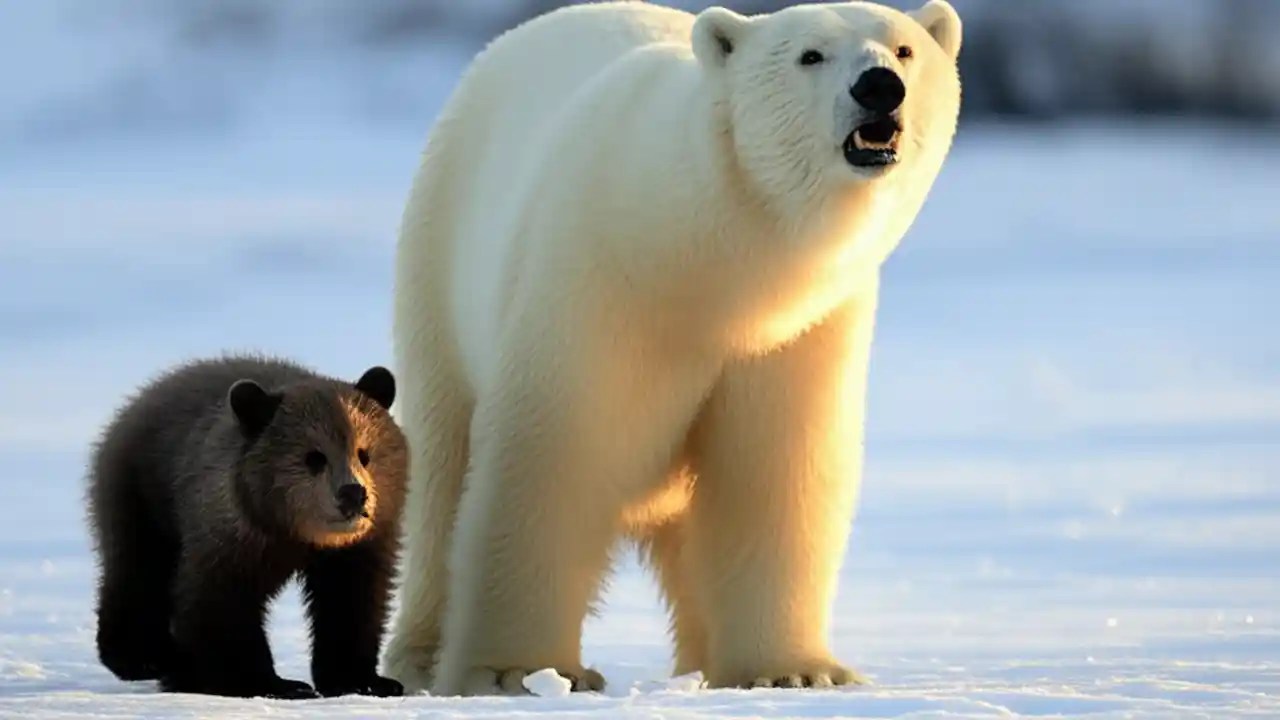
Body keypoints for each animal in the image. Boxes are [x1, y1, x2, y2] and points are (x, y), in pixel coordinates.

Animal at [87, 355, 408, 699]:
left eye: (365, 453)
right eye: (313, 457)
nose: (353, 494)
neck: (292, 532)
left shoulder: (356, 553)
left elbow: (351, 607)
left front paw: (364, 680)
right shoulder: (227, 540)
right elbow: (223, 610)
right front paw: (269, 683)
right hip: (142, 503)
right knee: (137, 576)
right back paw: (147, 658)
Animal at [382, 0, 962, 695]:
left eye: (904, 49)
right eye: (810, 55)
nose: (879, 88)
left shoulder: (799, 335)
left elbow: (774, 470)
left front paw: (795, 672)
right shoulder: (600, 285)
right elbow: (556, 456)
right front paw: (516, 671)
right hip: (441, 266)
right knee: (442, 469)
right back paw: (420, 656)